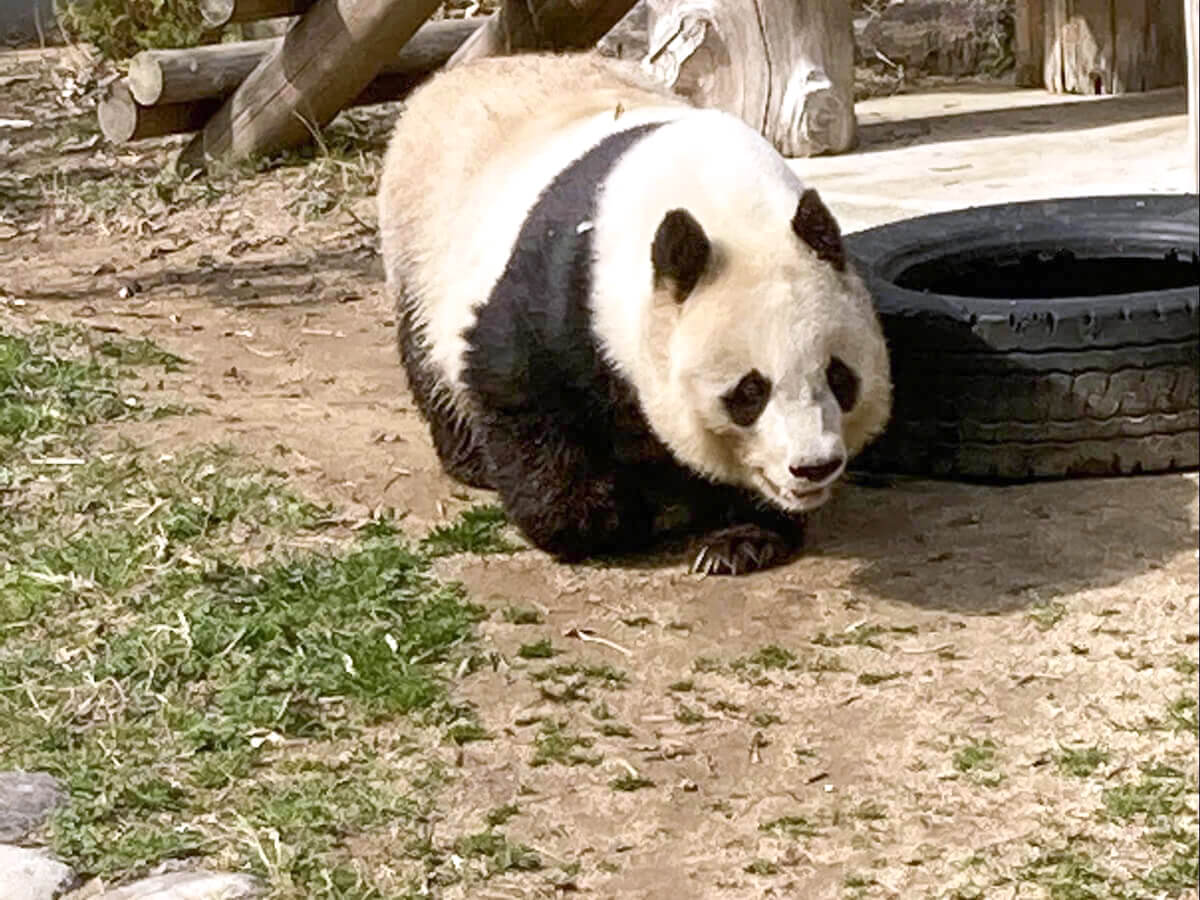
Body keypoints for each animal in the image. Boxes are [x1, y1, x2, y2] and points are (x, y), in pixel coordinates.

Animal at [378, 53, 891, 575]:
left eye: (840, 377)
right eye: (749, 391)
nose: (814, 465)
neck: (721, 203)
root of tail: (460, 73)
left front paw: (739, 540)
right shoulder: (561, 283)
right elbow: (516, 387)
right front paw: (605, 518)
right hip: (421, 246)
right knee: (430, 360)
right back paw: (472, 460)